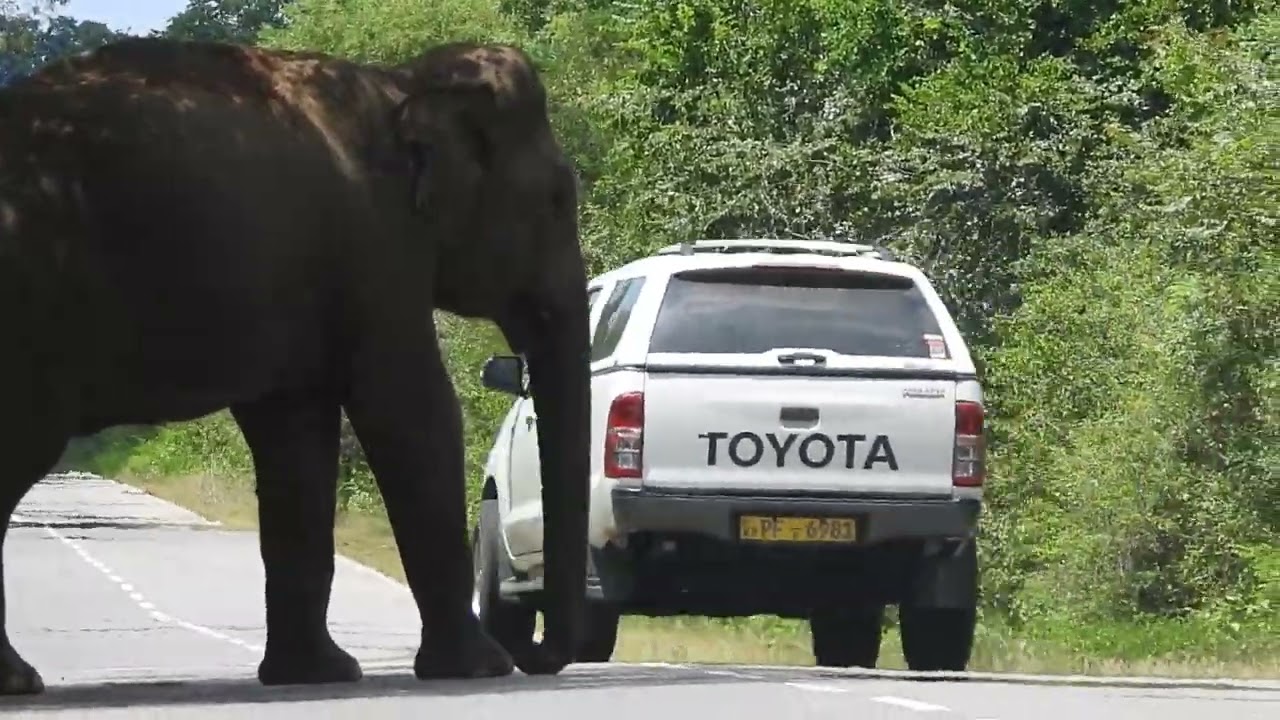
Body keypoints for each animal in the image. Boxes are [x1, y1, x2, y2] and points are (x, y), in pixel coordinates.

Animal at [0, 36, 589, 694]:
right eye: (559, 200)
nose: (535, 650)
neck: (402, 83)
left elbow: (297, 438)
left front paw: (318, 674)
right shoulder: (377, 246)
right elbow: (412, 410)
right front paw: (481, 668)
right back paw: (19, 681)